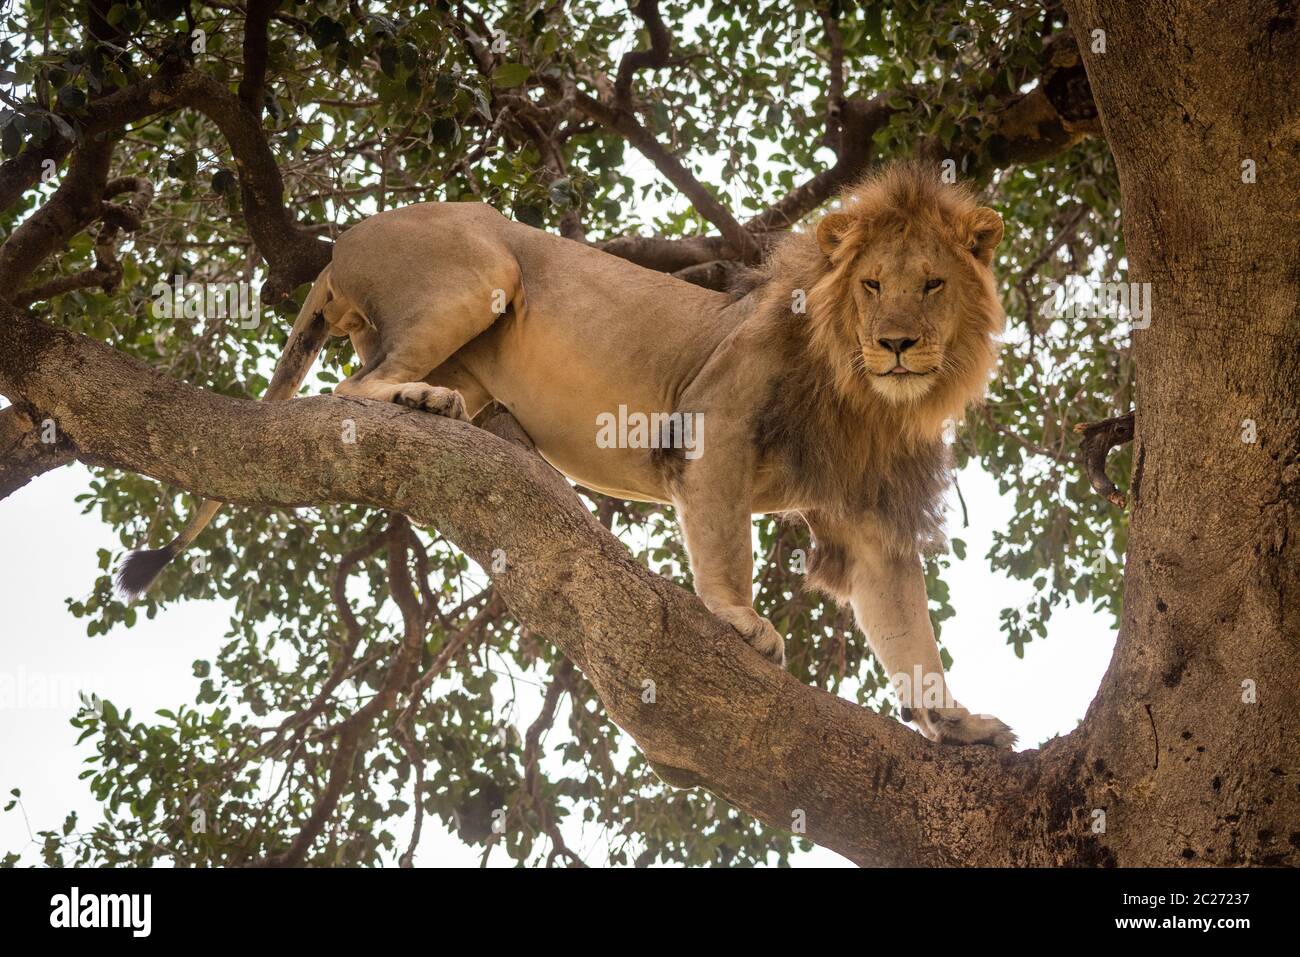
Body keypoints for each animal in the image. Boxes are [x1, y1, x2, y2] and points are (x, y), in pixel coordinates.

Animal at [117, 161, 1015, 748]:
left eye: (933, 285)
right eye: (871, 285)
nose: (896, 344)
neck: (861, 389)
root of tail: (341, 247)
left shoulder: (869, 517)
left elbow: (907, 629)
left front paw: (954, 720)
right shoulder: (714, 420)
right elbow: (726, 544)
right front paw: (737, 618)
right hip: (478, 268)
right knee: (350, 387)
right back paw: (422, 404)